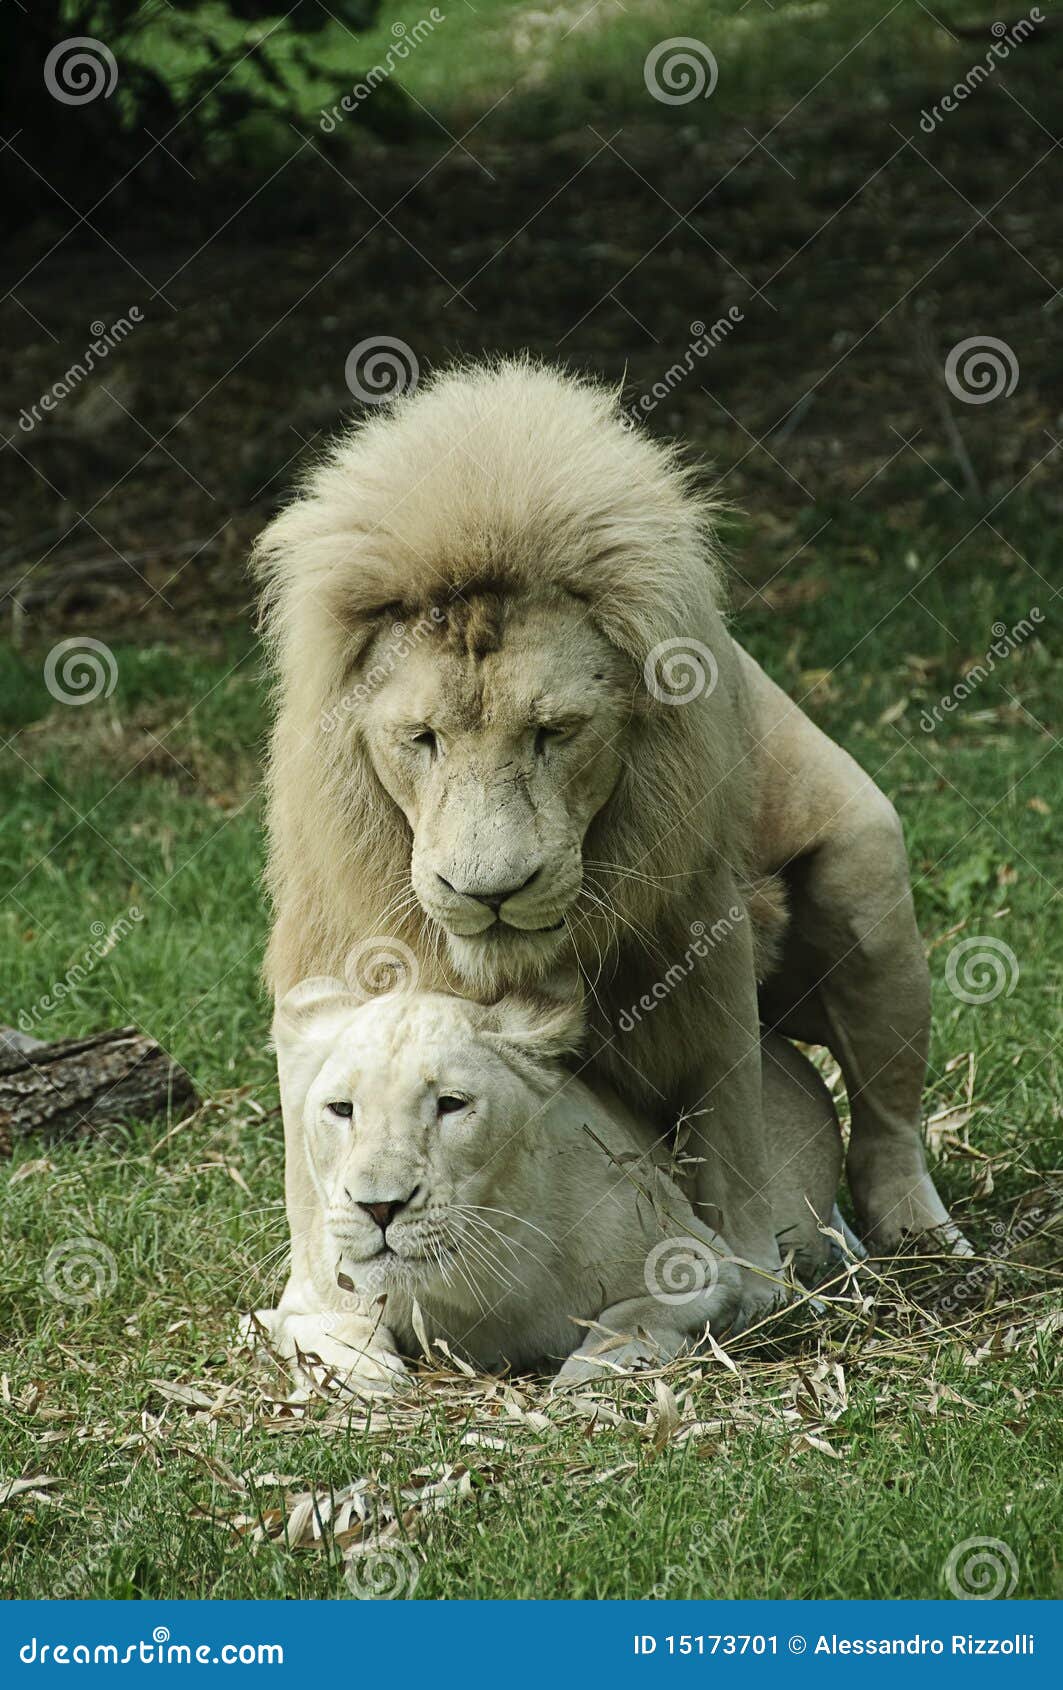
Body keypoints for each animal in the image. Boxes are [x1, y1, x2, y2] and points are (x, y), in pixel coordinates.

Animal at [251, 980, 851, 1388]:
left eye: (451, 1104)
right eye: (341, 1109)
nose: (379, 1208)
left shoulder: (704, 1264)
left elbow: (630, 1319)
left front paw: (586, 1380)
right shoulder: (299, 1303)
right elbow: (335, 1332)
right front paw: (373, 1381)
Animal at [253, 357, 964, 1335]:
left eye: (554, 732)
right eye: (421, 738)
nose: (489, 891)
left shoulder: (705, 970)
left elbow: (731, 1128)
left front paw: (749, 1283)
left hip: (867, 885)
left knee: (886, 1117)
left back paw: (919, 1239)